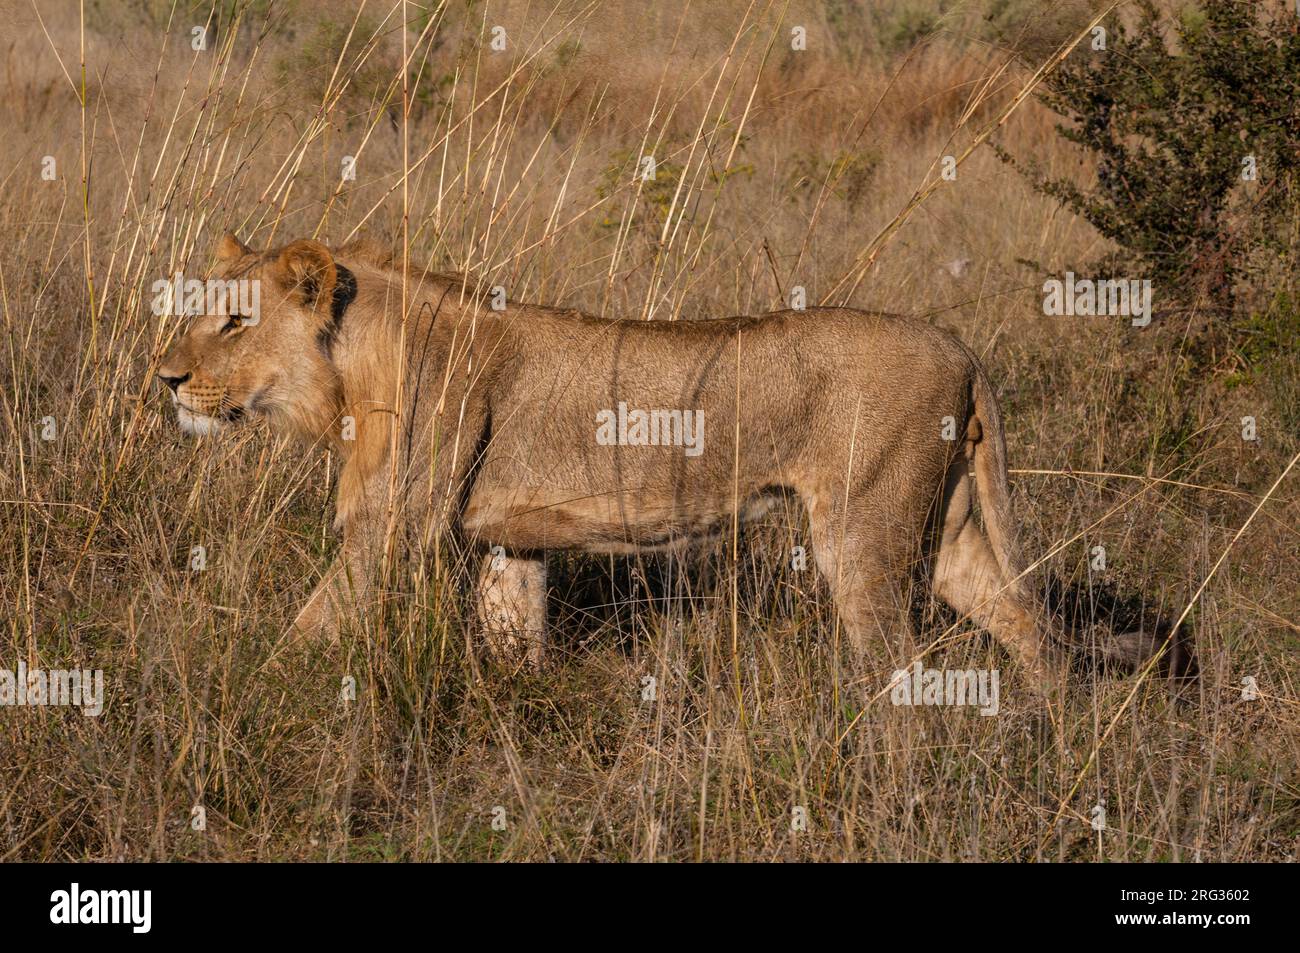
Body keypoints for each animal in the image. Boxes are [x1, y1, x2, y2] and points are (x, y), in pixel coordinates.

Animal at [157, 234, 1192, 694]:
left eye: (235, 321)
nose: (165, 377)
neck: (347, 369)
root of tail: (963, 347)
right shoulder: (512, 541)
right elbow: (512, 633)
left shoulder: (389, 529)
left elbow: (307, 629)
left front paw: (242, 691)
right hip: (954, 531)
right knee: (1032, 633)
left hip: (864, 532)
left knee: (901, 667)